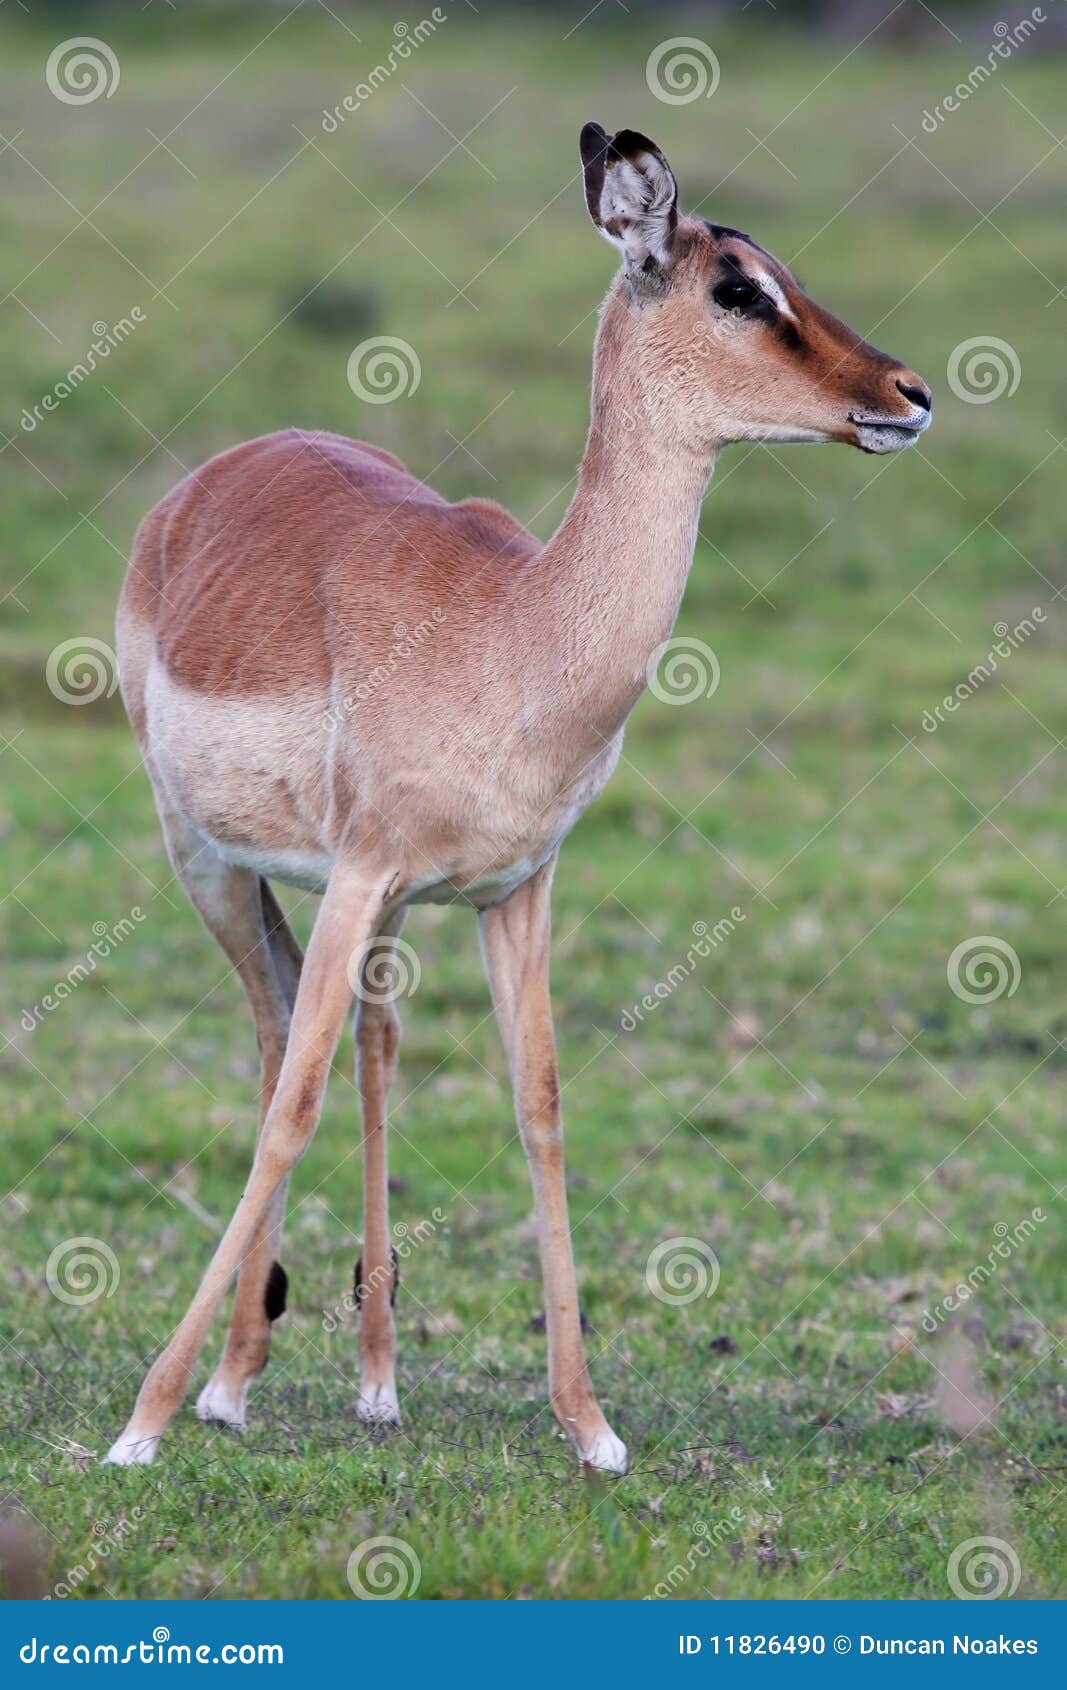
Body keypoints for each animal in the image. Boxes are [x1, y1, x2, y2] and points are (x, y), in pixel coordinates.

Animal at [106, 123, 931, 1473]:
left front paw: (589, 1426)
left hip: (371, 905)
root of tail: (207, 479)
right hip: (215, 862)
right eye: (736, 287)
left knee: (369, 1042)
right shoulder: (362, 871)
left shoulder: (514, 887)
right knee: (282, 1041)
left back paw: (371, 1380)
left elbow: (537, 1100)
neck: (514, 631)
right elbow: (291, 1109)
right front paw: (142, 1422)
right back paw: (224, 1383)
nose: (908, 393)